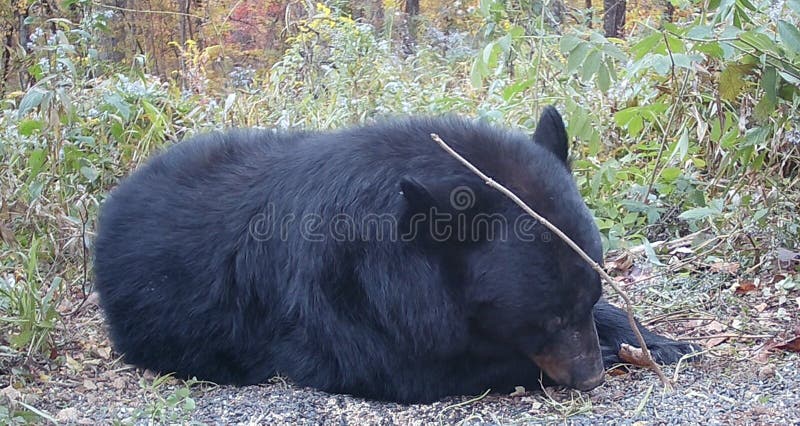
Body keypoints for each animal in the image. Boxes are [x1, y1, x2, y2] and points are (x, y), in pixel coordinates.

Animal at [93, 107, 696, 403]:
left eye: (588, 295)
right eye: (544, 318)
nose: (589, 378)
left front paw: (658, 340)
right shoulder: (346, 300)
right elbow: (415, 366)